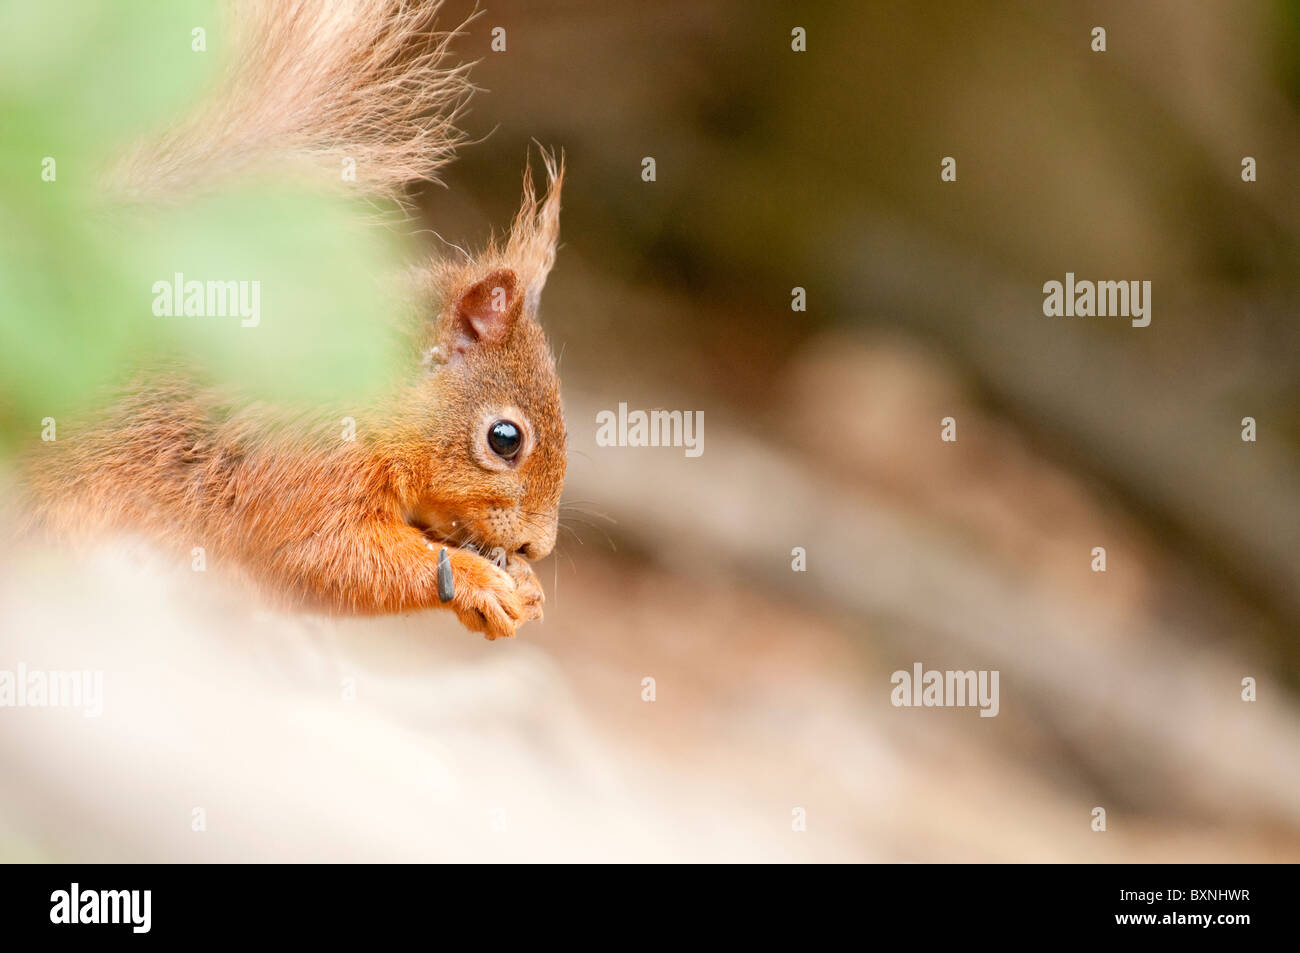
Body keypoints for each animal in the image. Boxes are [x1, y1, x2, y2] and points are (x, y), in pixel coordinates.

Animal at [21, 0, 566, 641]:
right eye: (505, 439)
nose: (538, 547)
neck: (378, 398)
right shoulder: (304, 462)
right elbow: (325, 557)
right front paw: (480, 583)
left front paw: (527, 590)